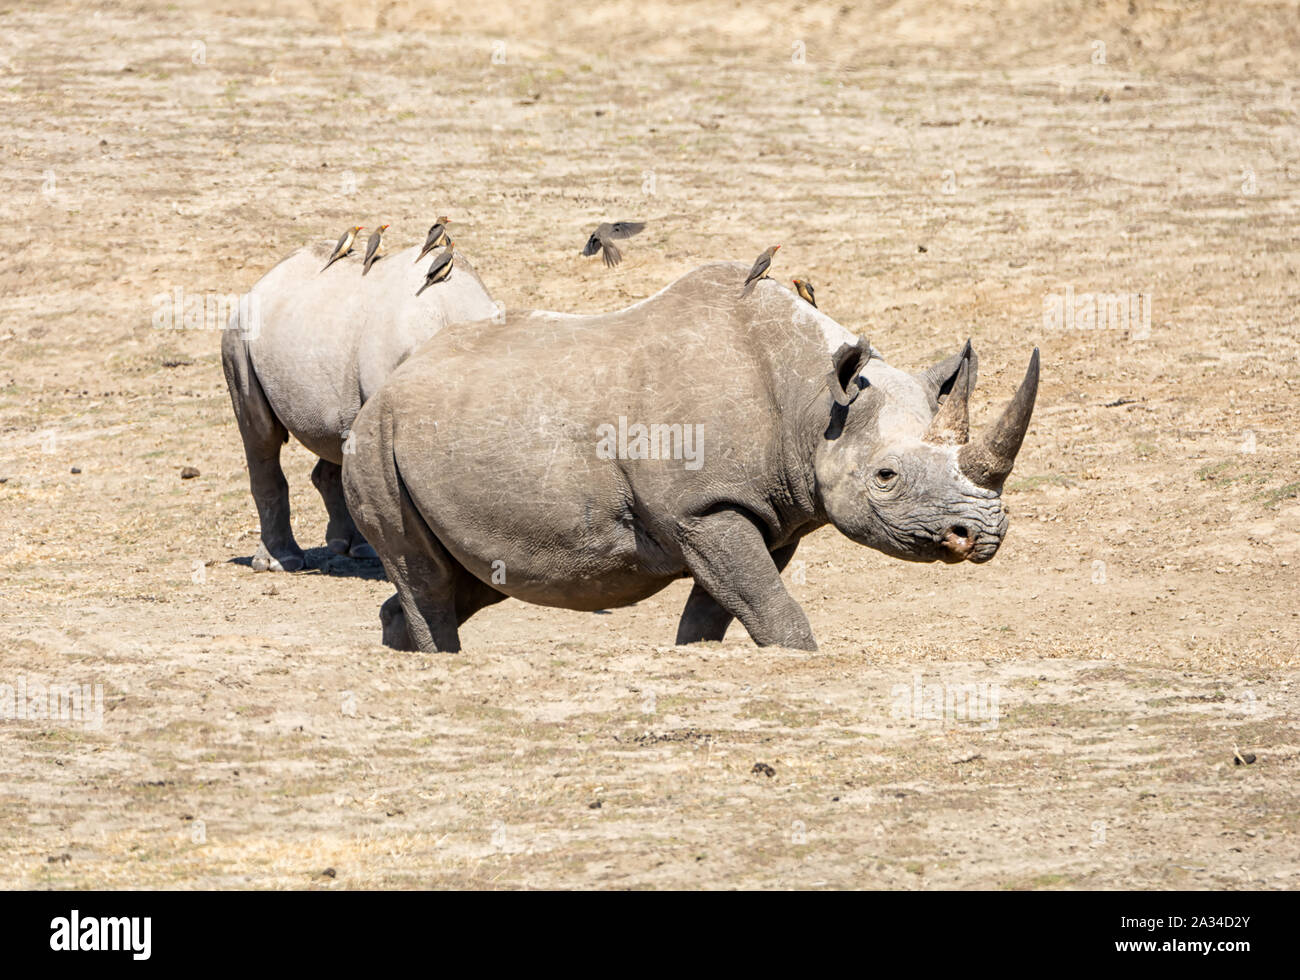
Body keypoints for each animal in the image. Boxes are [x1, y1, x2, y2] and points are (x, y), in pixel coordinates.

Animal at [221, 239, 498, 571]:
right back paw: (280, 562)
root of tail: (261, 282)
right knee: (262, 436)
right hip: (239, 337)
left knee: (333, 431)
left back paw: (354, 548)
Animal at [341, 262, 1039, 652]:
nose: (982, 534)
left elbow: (728, 607)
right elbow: (771, 608)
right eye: (886, 477)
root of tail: (388, 387)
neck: (814, 404)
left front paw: (696, 656)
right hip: (374, 440)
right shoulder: (701, 510)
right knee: (425, 577)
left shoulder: (768, 513)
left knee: (472, 580)